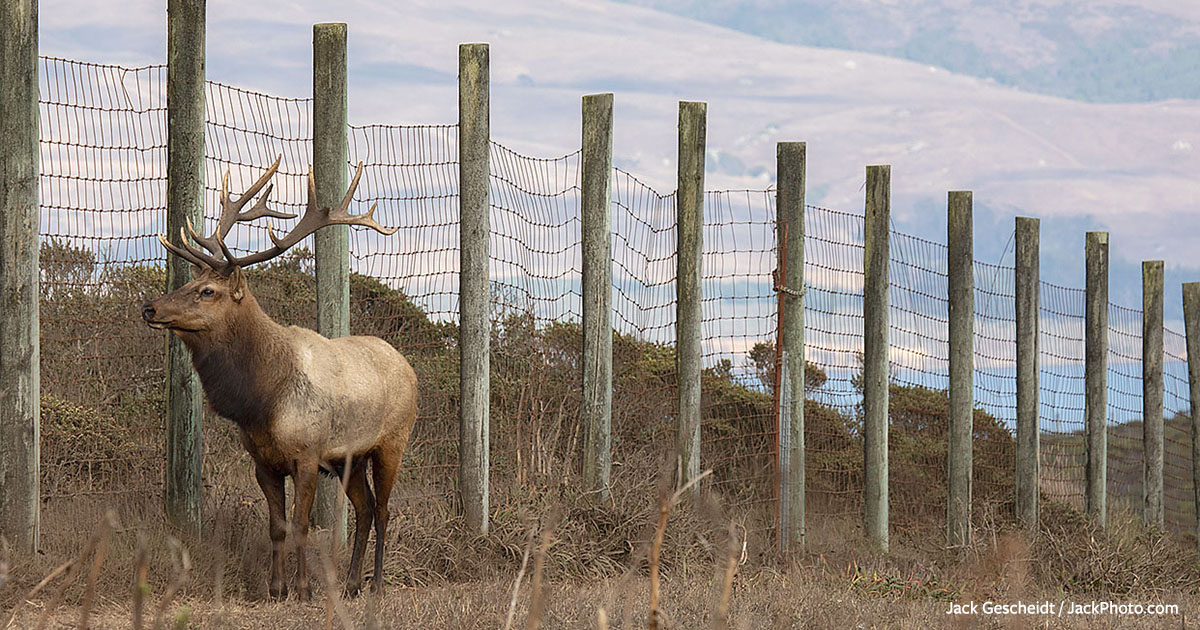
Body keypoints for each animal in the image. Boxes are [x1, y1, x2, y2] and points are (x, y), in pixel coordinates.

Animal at [141, 156, 417, 599]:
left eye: (207, 291)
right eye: (190, 281)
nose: (150, 307)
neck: (261, 399)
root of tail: (408, 367)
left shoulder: (307, 454)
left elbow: (302, 524)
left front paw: (303, 589)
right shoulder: (263, 462)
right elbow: (275, 526)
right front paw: (275, 587)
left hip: (393, 441)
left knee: (385, 509)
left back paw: (375, 584)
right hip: (351, 458)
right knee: (364, 508)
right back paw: (352, 582)